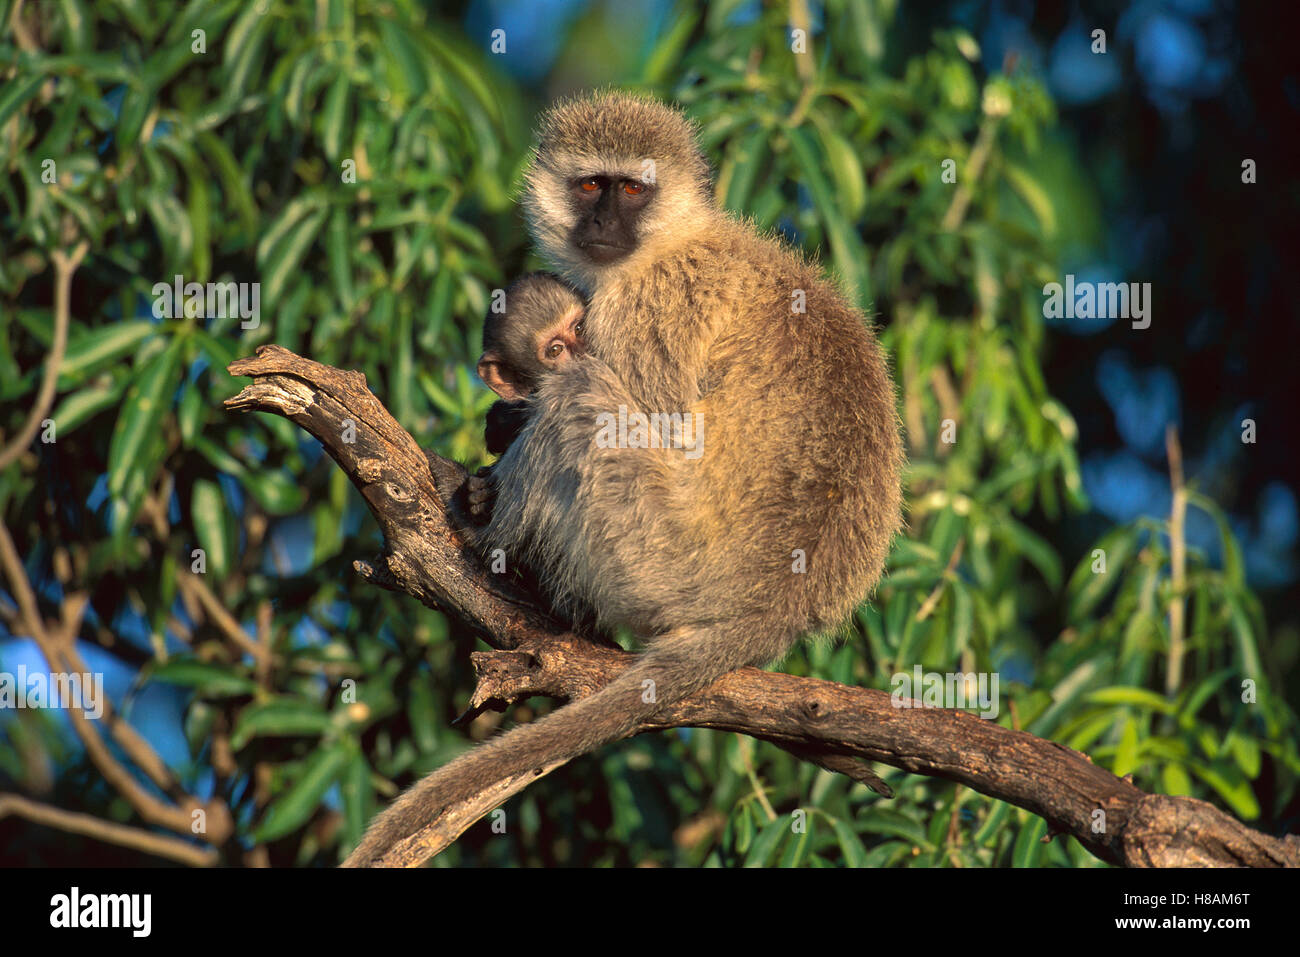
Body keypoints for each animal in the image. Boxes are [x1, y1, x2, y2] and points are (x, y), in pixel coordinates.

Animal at [344, 91, 903, 866]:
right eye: (590, 185)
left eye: (633, 190)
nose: (605, 224)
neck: (666, 244)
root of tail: (782, 606)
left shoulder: (647, 310)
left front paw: (496, 453)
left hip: (657, 557)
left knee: (582, 405)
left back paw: (487, 536)